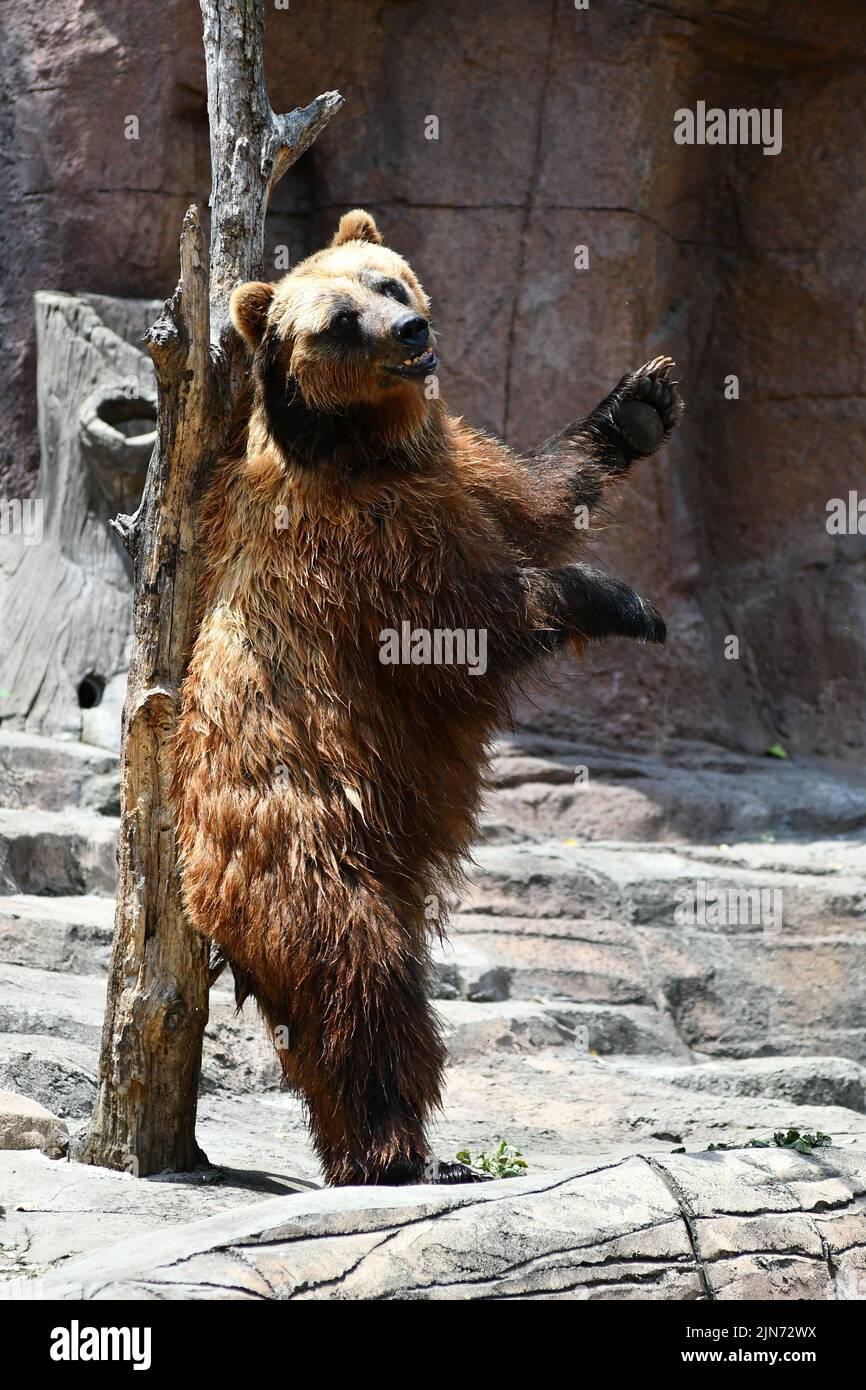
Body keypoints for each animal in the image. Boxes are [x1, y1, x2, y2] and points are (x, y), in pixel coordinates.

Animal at [172, 209, 682, 1186]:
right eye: (339, 322)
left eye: (389, 281)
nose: (412, 333)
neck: (371, 447)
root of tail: (198, 883)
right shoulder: (363, 552)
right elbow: (471, 626)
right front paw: (624, 600)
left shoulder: (461, 473)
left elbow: (542, 494)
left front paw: (640, 404)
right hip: (308, 844)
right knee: (360, 987)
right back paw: (397, 1151)